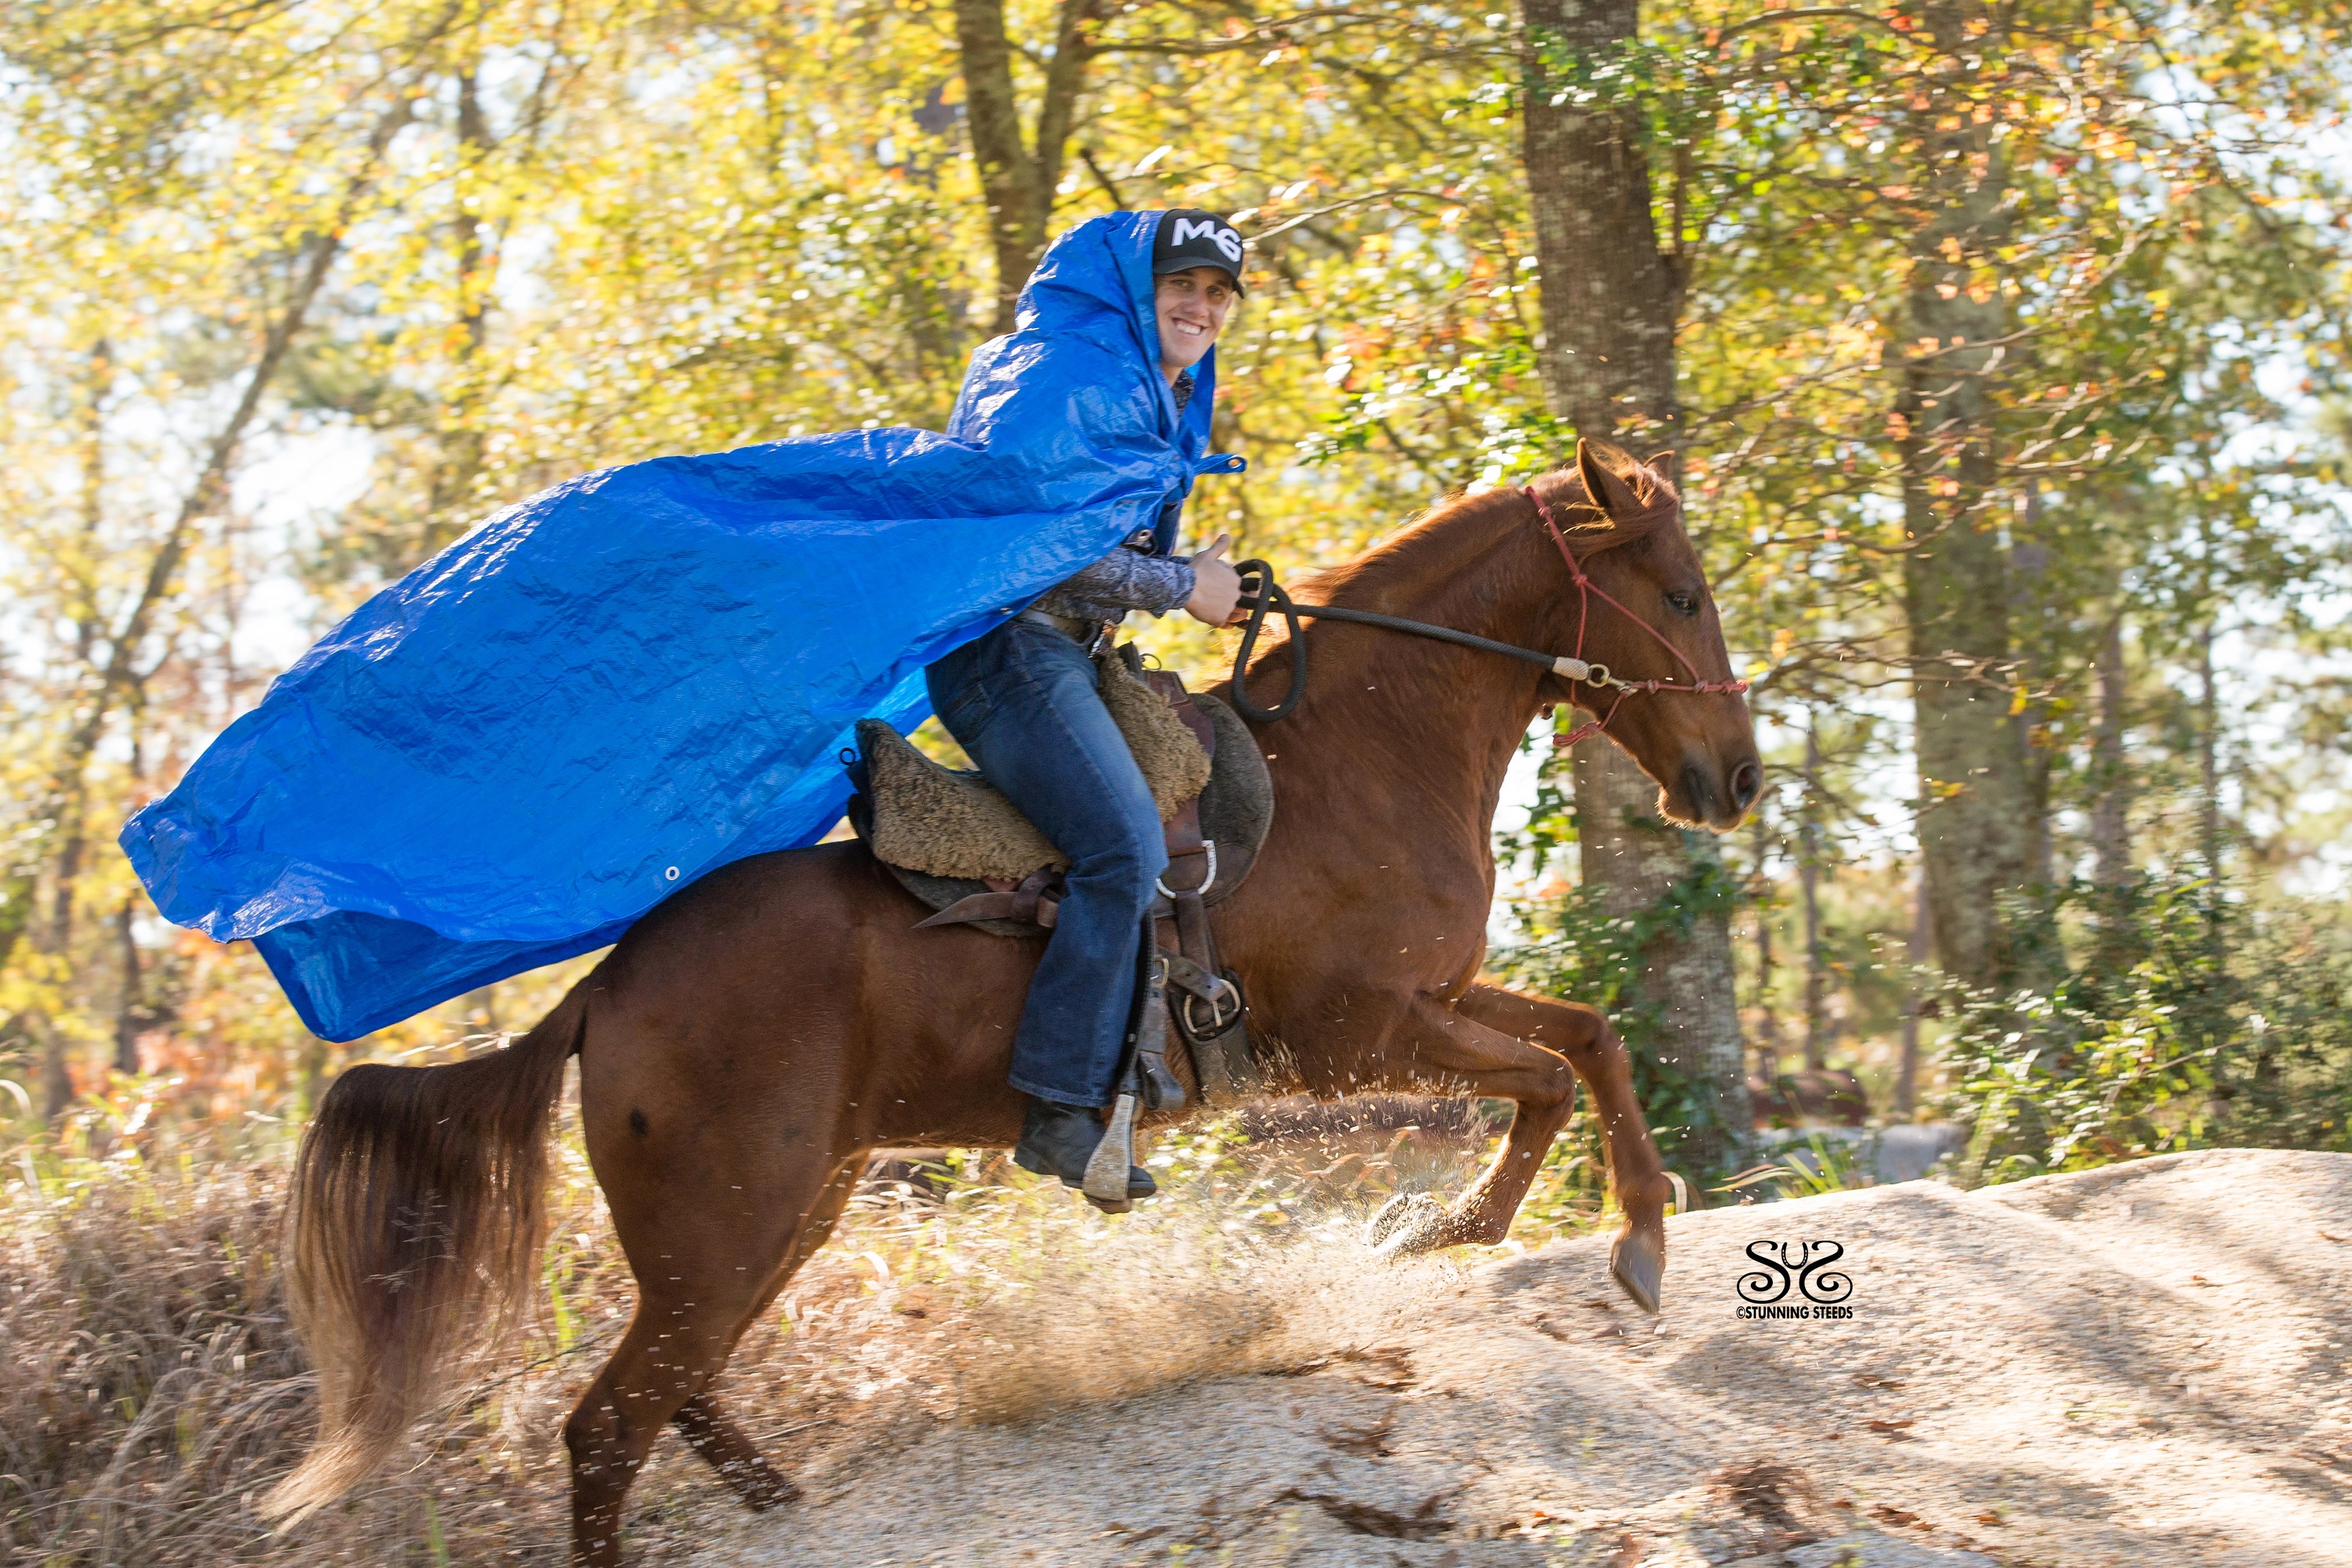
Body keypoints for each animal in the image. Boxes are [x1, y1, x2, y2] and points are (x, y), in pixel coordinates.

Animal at [264, 440, 1761, 1565]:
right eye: (1682, 592)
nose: (1737, 779)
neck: (1360, 756)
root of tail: (603, 989)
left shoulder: (1432, 1001)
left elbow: (1587, 1042)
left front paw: (1576, 1227)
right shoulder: (1358, 1035)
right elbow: (1549, 1074)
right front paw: (1518, 1234)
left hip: (776, 1222)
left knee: (675, 1403)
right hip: (726, 1232)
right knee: (607, 1432)